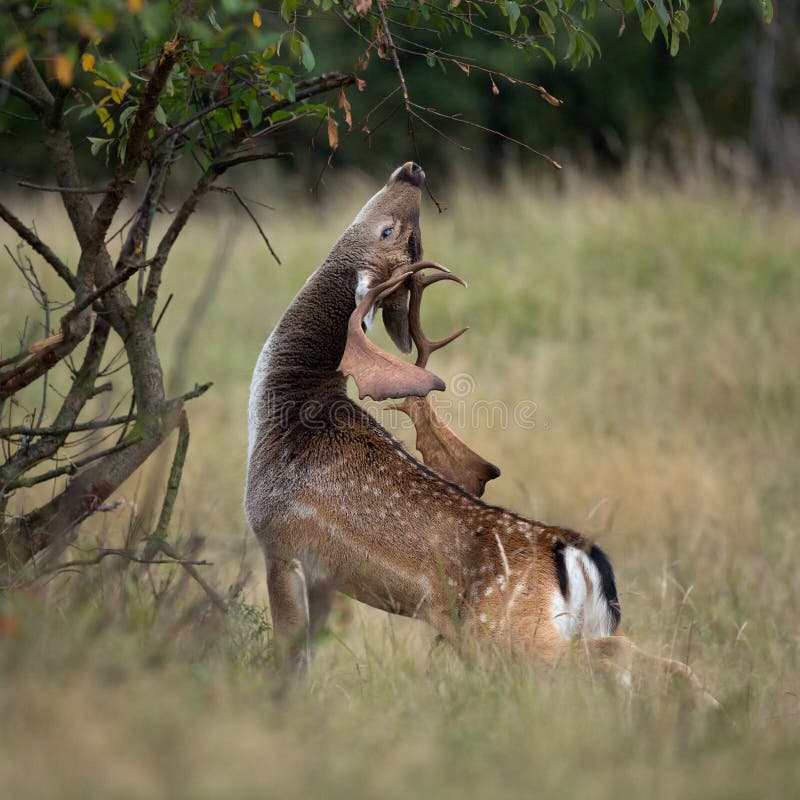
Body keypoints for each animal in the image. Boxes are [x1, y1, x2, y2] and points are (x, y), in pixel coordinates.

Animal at [245, 162, 717, 704]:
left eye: (393, 232)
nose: (412, 169)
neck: (278, 417)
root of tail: (577, 552)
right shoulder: (324, 576)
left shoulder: (278, 540)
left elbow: (288, 661)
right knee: (651, 658)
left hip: (508, 634)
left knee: (612, 656)